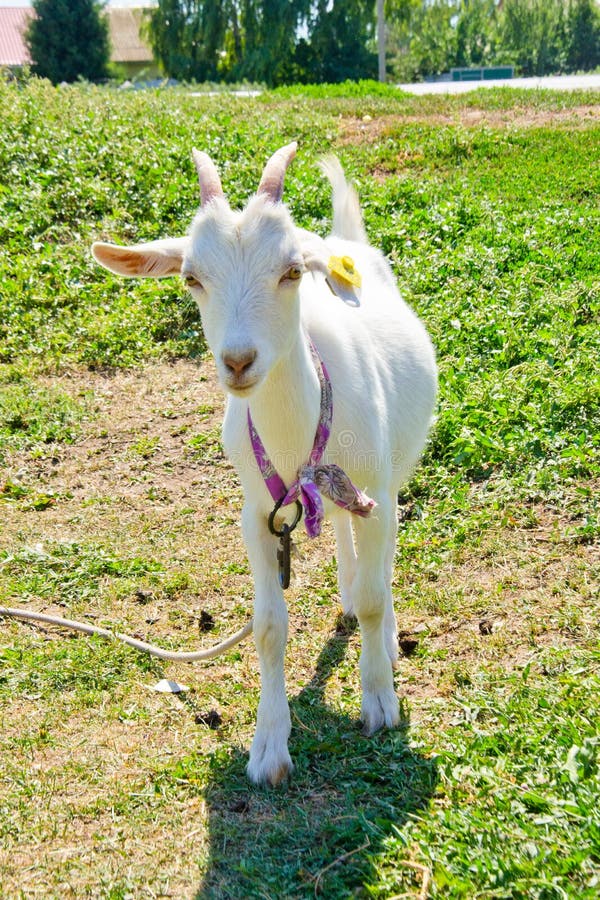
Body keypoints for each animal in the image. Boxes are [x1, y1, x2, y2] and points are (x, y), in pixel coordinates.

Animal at [92, 143, 437, 786]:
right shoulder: (259, 514)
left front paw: (379, 701)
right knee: (343, 532)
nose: (238, 361)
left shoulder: (375, 488)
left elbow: (376, 593)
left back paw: (382, 629)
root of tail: (341, 242)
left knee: (379, 559)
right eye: (191, 277)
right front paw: (269, 748)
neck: (298, 436)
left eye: (291, 271)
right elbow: (270, 626)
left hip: (391, 473)